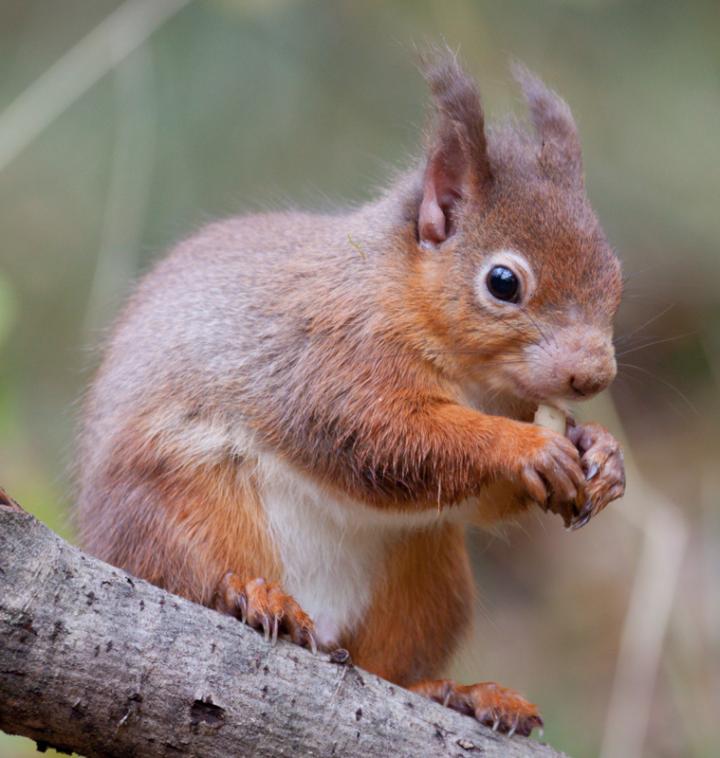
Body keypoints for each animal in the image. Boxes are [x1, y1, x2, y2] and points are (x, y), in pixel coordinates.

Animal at [77, 52, 625, 737]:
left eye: (616, 275)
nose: (593, 375)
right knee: (185, 572)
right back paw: (252, 595)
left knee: (386, 667)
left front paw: (602, 453)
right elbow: (381, 435)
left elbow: (476, 499)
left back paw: (461, 693)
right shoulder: (331, 356)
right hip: (179, 501)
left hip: (426, 576)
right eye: (503, 283)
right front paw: (526, 447)